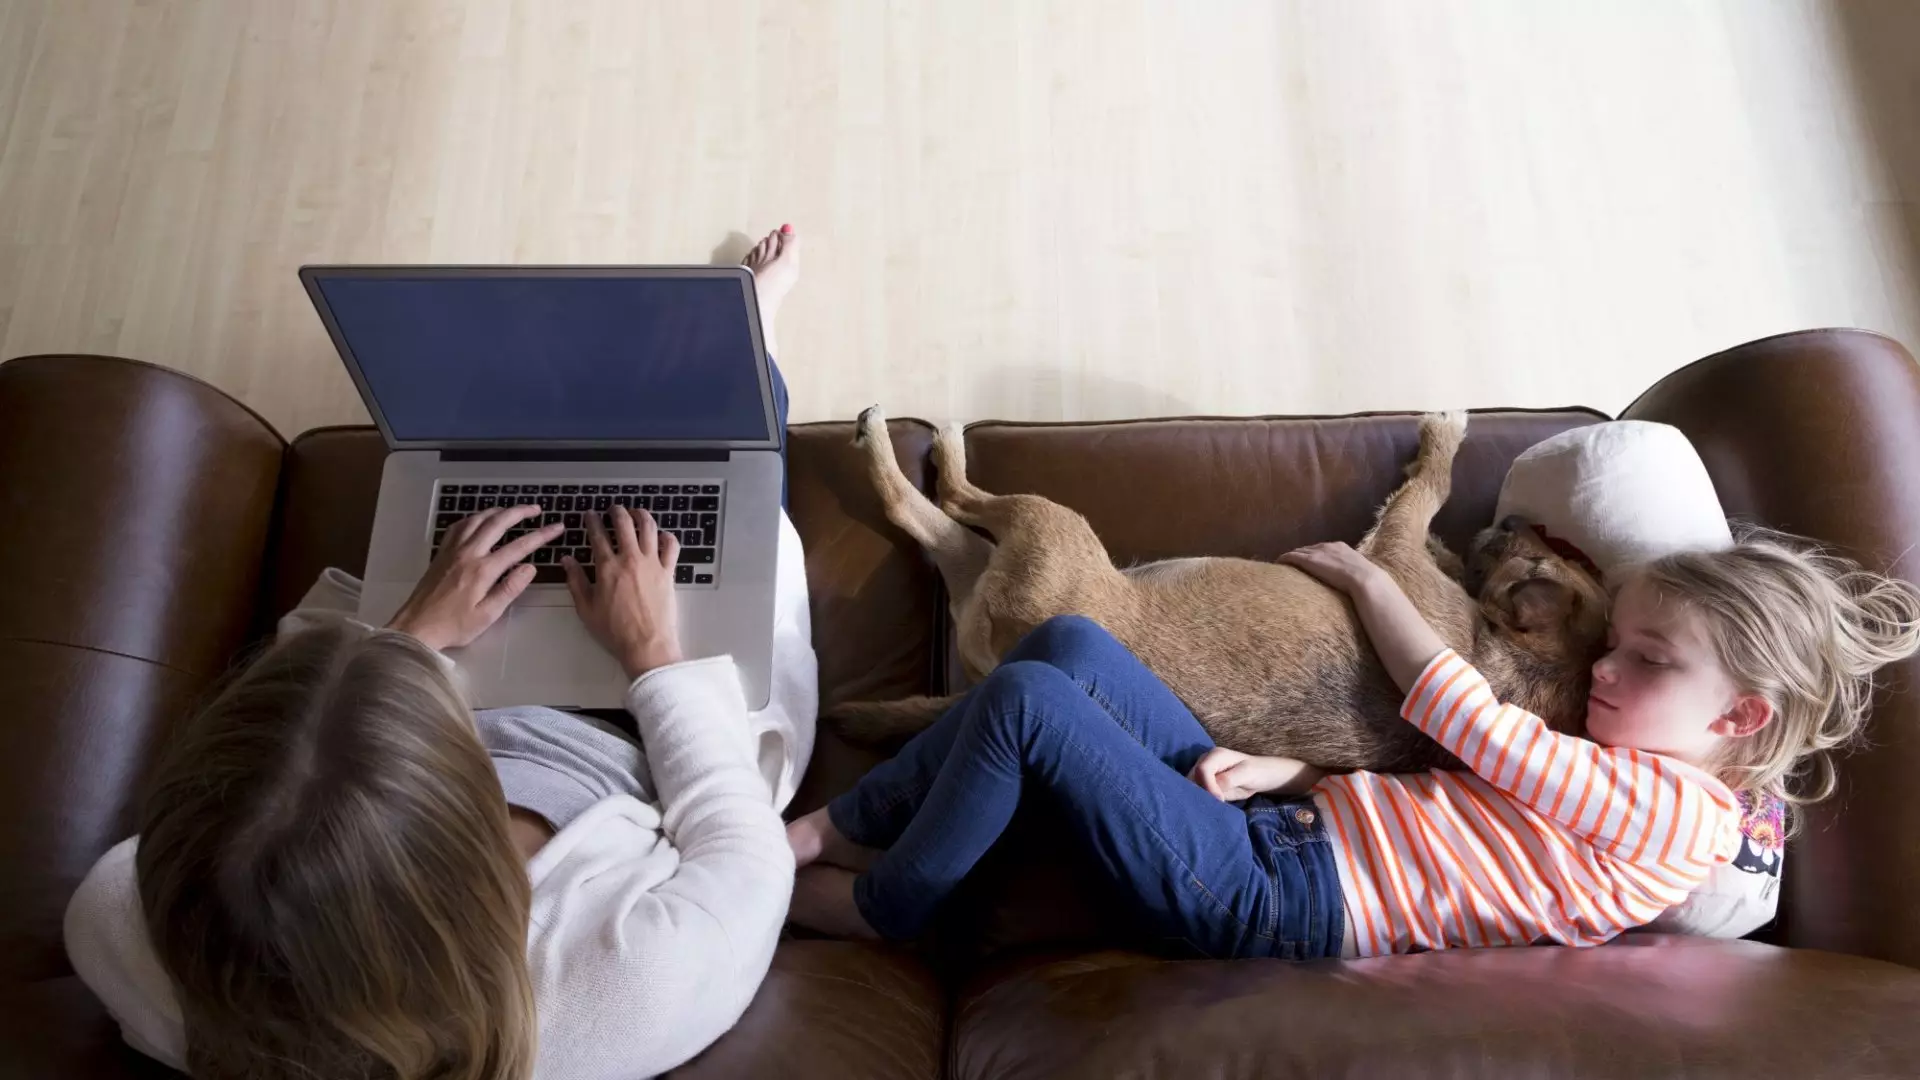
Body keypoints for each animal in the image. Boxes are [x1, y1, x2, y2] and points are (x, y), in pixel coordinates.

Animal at [833, 401, 1612, 764]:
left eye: (1547, 559)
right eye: (1568, 554)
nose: (1512, 520)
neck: (1508, 662)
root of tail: (1002, 662)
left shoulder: (1390, 550)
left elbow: (1428, 486)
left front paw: (1442, 441)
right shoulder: (1405, 548)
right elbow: (1426, 506)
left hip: (1047, 528)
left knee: (939, 498)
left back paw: (908, 439)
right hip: (997, 555)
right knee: (933, 510)